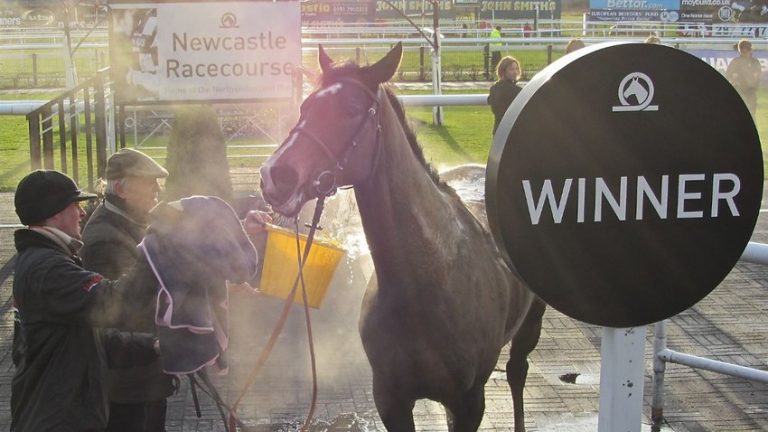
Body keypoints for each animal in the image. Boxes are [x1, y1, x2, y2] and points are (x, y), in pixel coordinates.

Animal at [259, 43, 546, 432]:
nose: (275, 176)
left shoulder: (470, 403)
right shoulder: (391, 401)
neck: (429, 281)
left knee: (517, 372)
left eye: (351, 109)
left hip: (531, 324)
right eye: (305, 107)